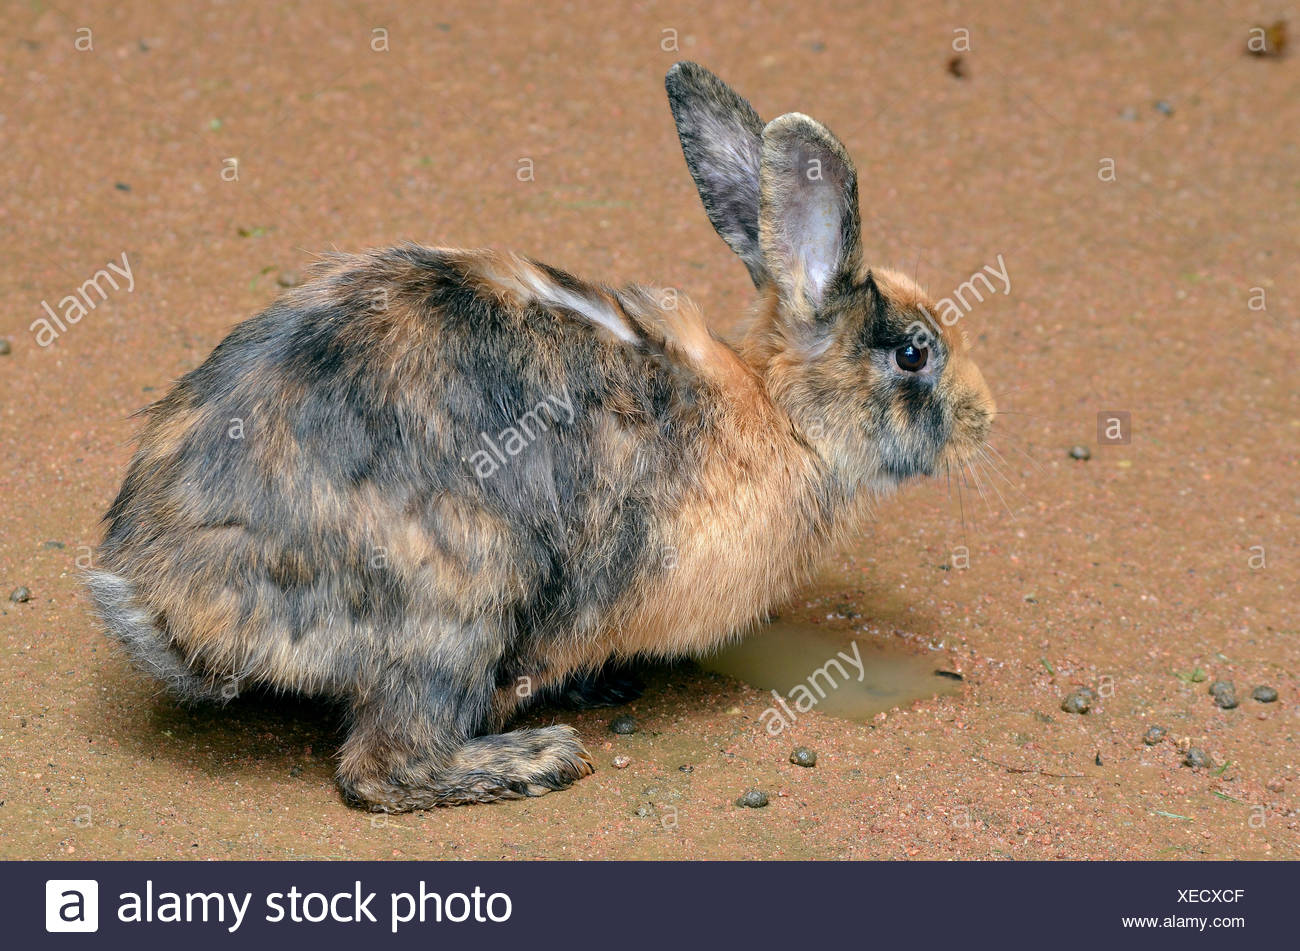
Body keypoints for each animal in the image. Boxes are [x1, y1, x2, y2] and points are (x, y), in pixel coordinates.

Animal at [87, 62, 995, 811]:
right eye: (915, 352)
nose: (985, 418)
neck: (782, 416)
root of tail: (164, 595)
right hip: (464, 596)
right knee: (384, 767)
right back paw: (540, 757)